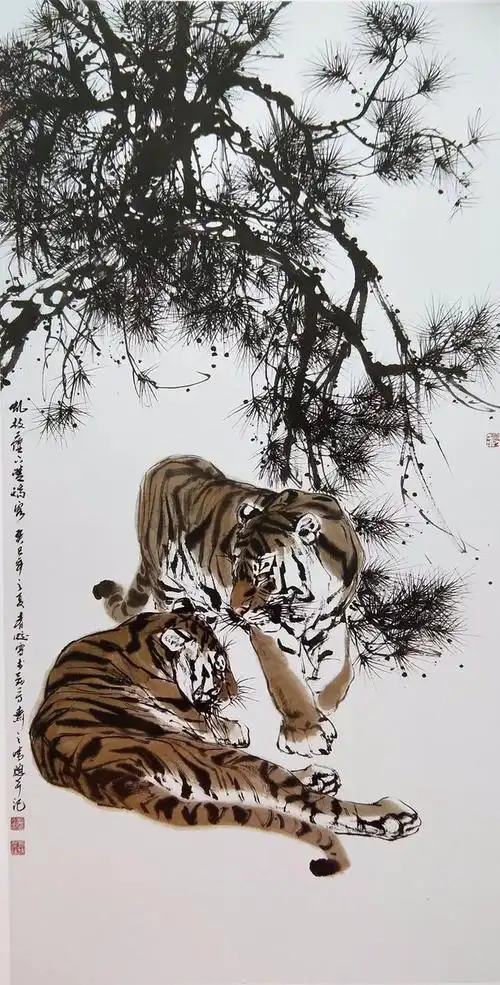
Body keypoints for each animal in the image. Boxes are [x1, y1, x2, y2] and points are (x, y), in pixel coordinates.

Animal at [29, 604, 421, 878]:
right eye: (219, 667)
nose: (233, 691)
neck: (139, 636)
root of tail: (101, 772)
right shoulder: (191, 719)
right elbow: (208, 721)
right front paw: (233, 725)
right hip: (210, 757)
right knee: (308, 801)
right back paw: (392, 816)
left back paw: (321, 776)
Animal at [93, 455, 365, 758]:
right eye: (235, 566)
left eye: (263, 570)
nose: (236, 611)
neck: (310, 600)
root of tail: (162, 465)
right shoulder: (269, 632)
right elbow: (288, 682)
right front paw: (305, 734)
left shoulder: (333, 620)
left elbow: (341, 669)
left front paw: (323, 701)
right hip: (170, 589)